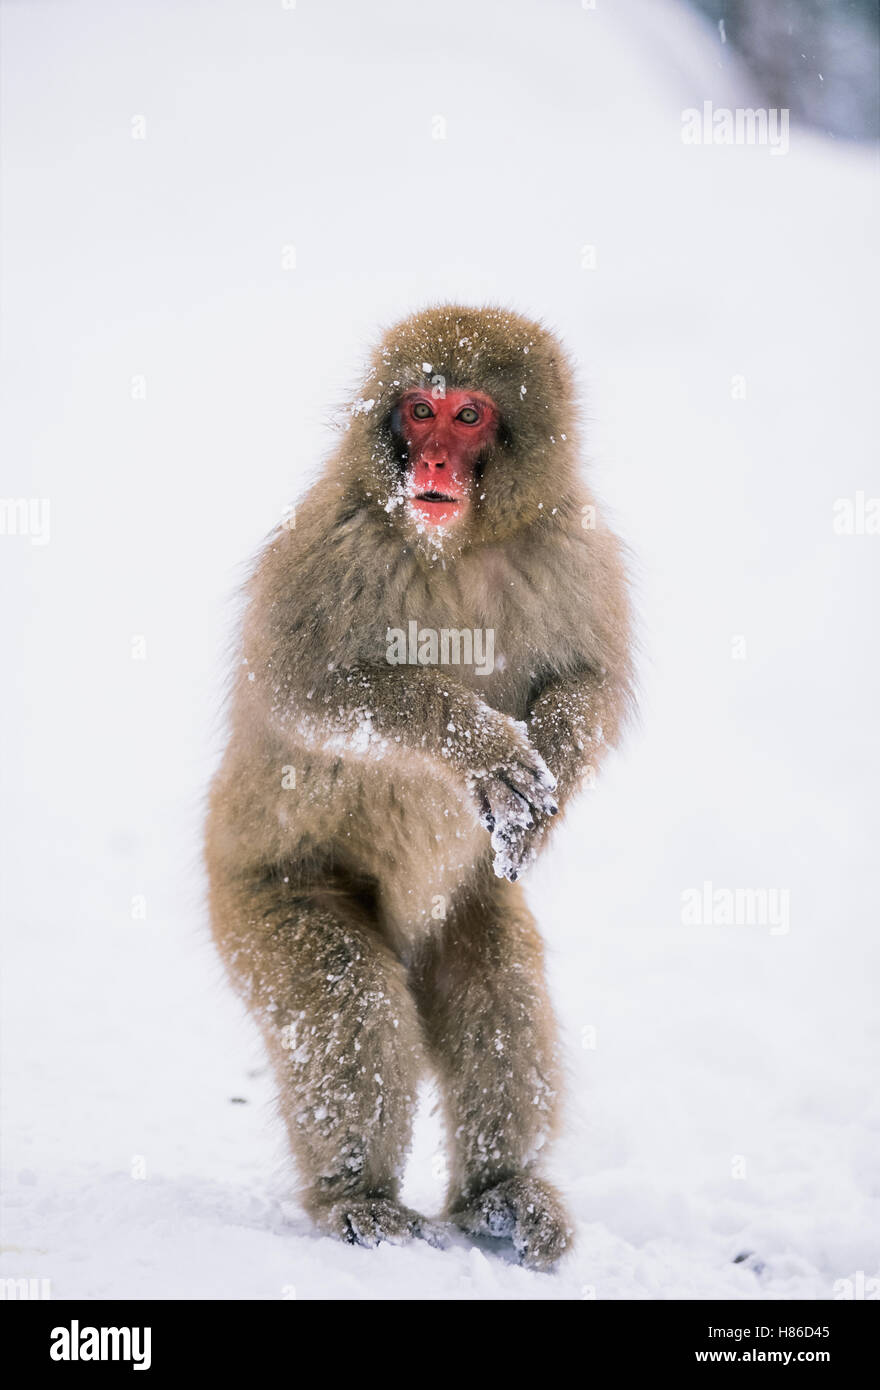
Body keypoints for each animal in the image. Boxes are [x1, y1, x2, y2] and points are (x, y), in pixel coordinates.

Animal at [205, 305, 634, 1269]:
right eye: (418, 411)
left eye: (469, 415)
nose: (432, 464)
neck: (462, 546)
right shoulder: (333, 542)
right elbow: (305, 688)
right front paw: (480, 746)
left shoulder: (575, 546)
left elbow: (589, 686)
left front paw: (546, 763)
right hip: (260, 898)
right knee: (349, 1006)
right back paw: (355, 1197)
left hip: (465, 904)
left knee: (501, 1000)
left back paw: (500, 1194)